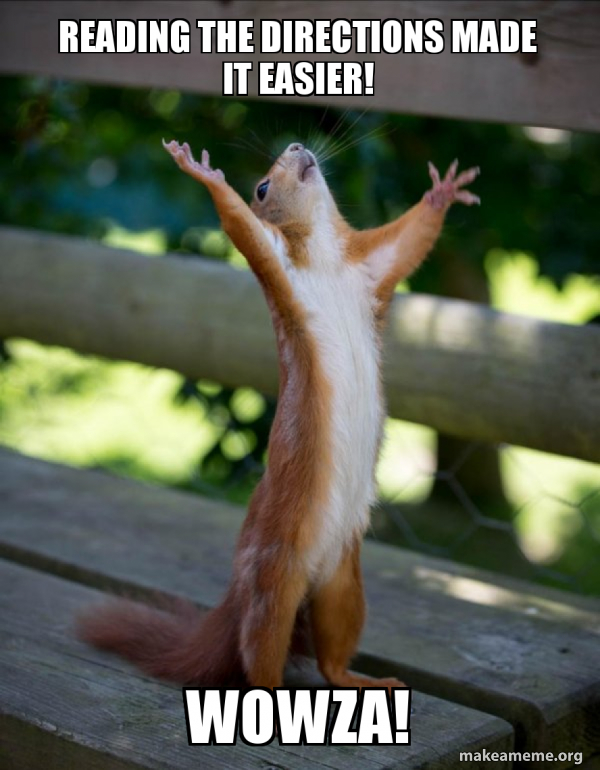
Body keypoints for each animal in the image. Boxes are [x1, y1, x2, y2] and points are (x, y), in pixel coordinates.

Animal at [78, 139, 479, 693]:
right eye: (262, 187)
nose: (296, 146)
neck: (327, 259)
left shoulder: (372, 267)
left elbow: (410, 240)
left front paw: (442, 193)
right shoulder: (277, 264)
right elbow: (240, 226)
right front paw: (203, 173)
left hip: (344, 585)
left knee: (332, 654)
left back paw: (362, 681)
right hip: (273, 582)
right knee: (260, 656)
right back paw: (275, 688)